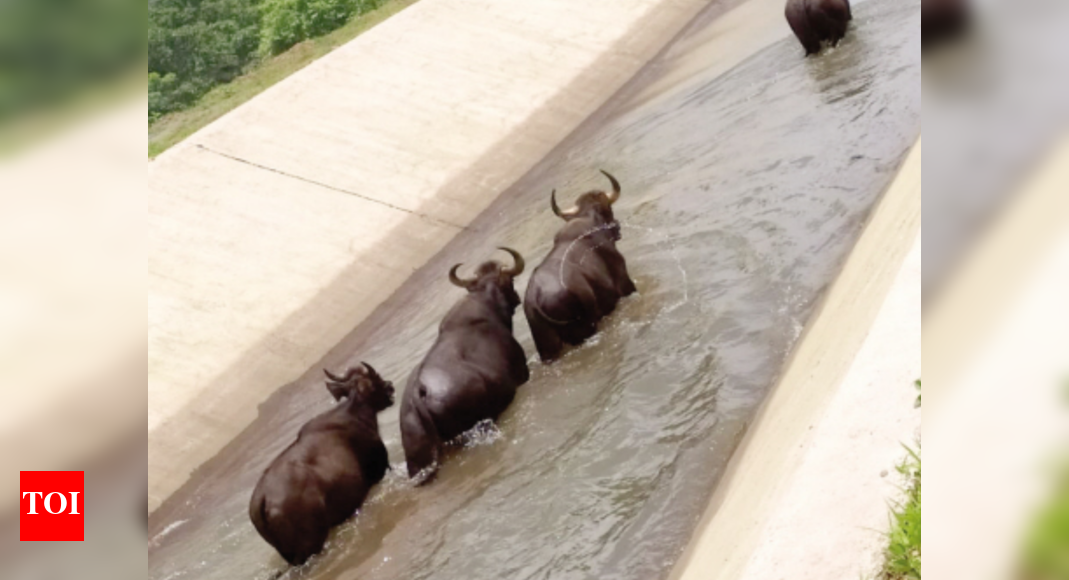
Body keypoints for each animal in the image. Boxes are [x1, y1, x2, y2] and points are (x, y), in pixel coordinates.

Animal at [249, 363, 394, 566]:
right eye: (376, 378)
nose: (390, 386)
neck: (359, 415)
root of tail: (261, 504)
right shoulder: (381, 468)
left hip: (289, 553)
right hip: (309, 543)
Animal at [524, 170, 636, 362]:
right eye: (608, 209)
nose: (617, 228)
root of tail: (535, 300)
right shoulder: (625, 283)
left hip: (548, 349)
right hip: (585, 328)